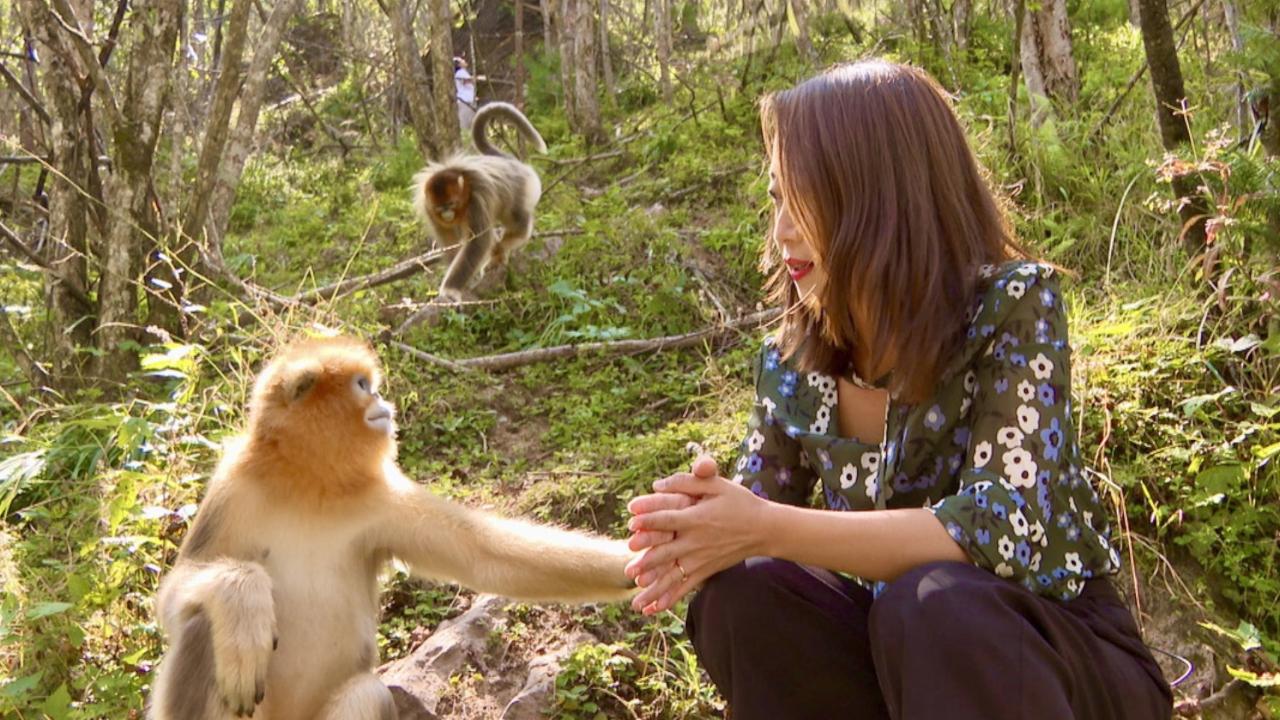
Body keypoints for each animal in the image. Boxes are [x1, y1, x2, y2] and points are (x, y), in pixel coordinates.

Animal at [148, 335, 635, 720]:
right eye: (363, 386)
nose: (384, 403)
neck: (310, 484)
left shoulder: (383, 501)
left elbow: (487, 557)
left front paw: (638, 561)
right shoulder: (234, 484)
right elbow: (174, 599)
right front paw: (243, 603)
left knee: (368, 693)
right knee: (200, 625)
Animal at [412, 102, 547, 304]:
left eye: (451, 204)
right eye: (440, 208)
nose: (447, 214)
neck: (466, 188)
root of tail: (513, 163)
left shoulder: (476, 200)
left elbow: (478, 242)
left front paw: (450, 289)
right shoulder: (430, 210)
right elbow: (451, 243)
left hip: (526, 187)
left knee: (517, 220)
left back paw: (503, 246)